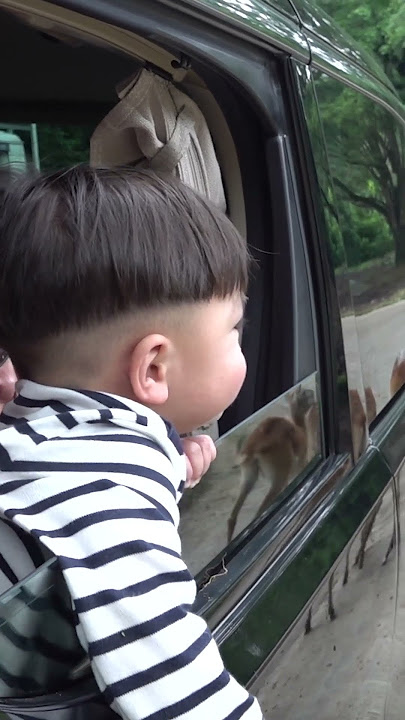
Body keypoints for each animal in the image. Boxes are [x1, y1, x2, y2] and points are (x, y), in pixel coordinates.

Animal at [227, 386, 317, 543]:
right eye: (307, 393)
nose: (315, 399)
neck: (299, 429)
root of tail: (252, 448)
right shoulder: (302, 463)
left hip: (249, 477)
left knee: (232, 517)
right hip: (277, 478)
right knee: (259, 512)